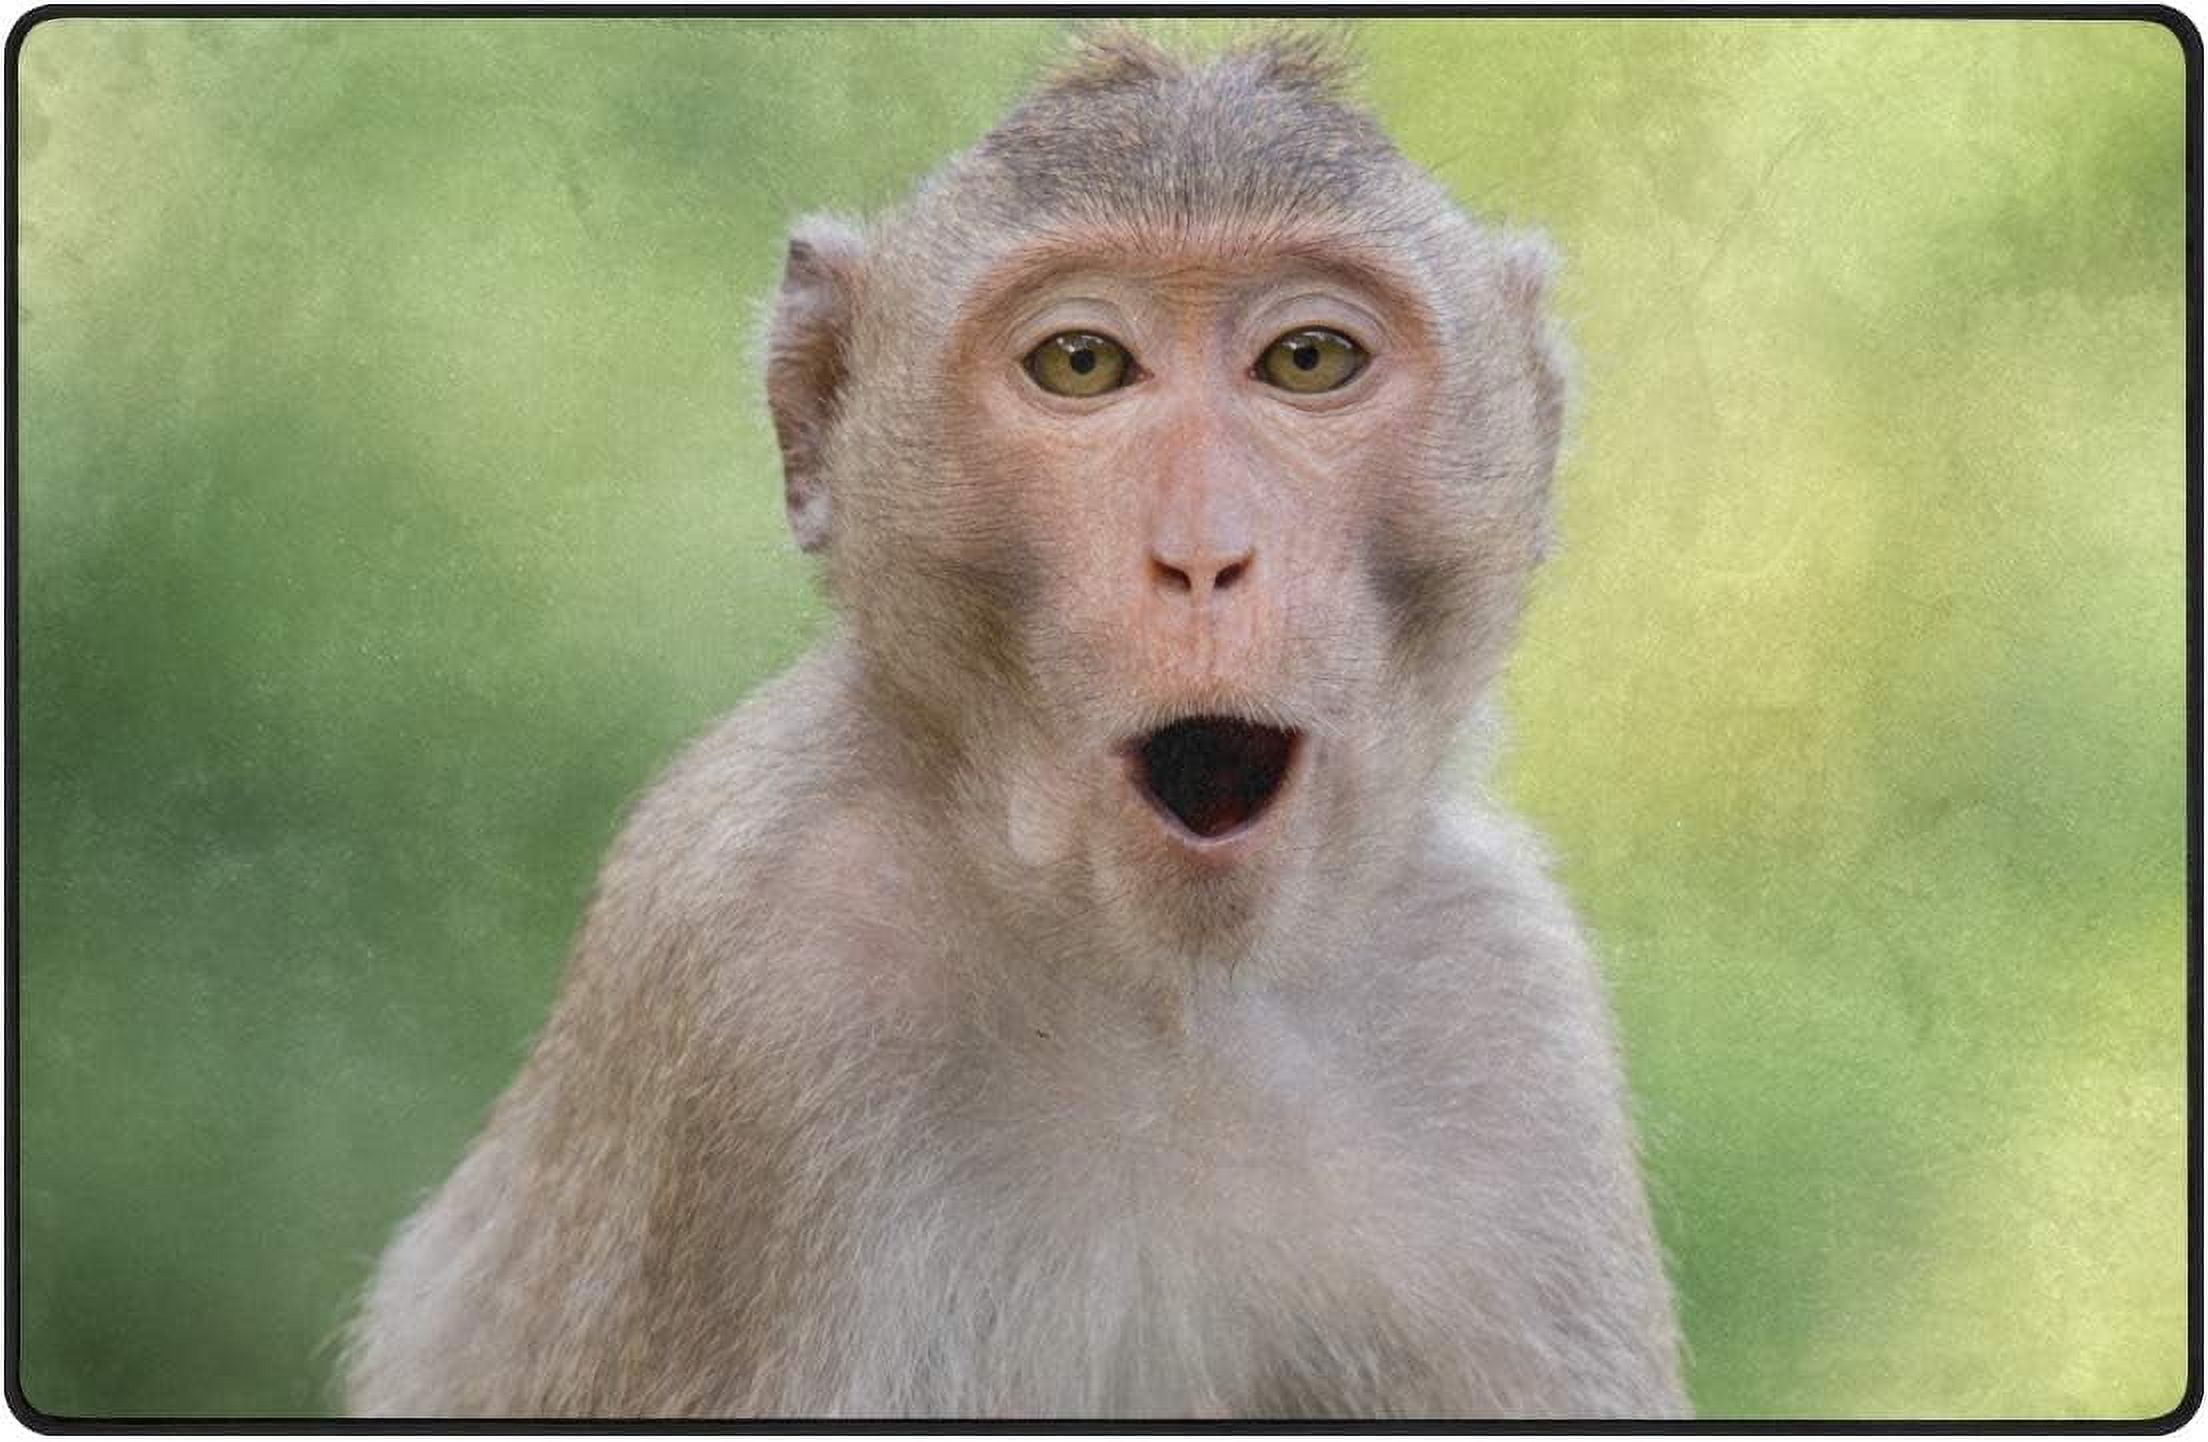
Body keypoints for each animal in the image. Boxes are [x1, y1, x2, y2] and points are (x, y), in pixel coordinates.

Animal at [344, 30, 1688, 1420]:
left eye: (1308, 360)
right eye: (1082, 364)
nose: (1203, 553)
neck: (1163, 995)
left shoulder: (1508, 1012)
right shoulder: (755, 972)